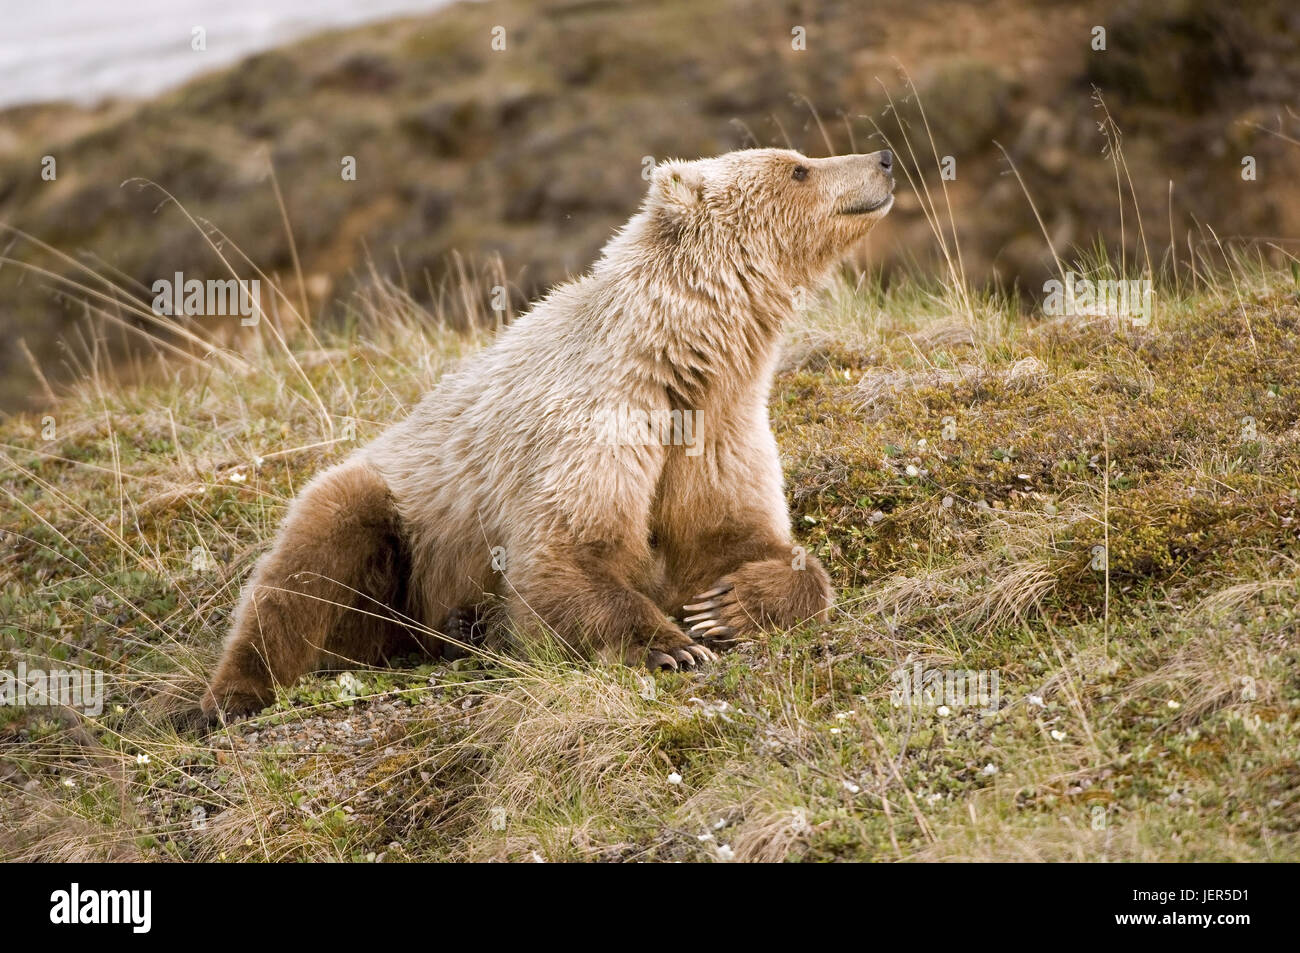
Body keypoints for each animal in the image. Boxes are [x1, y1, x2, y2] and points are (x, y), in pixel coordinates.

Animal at [201, 147, 895, 720]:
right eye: (798, 167)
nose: (884, 158)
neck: (679, 365)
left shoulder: (719, 431)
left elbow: (741, 537)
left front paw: (726, 605)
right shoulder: (591, 424)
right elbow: (563, 554)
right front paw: (668, 646)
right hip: (394, 507)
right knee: (304, 567)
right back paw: (231, 696)